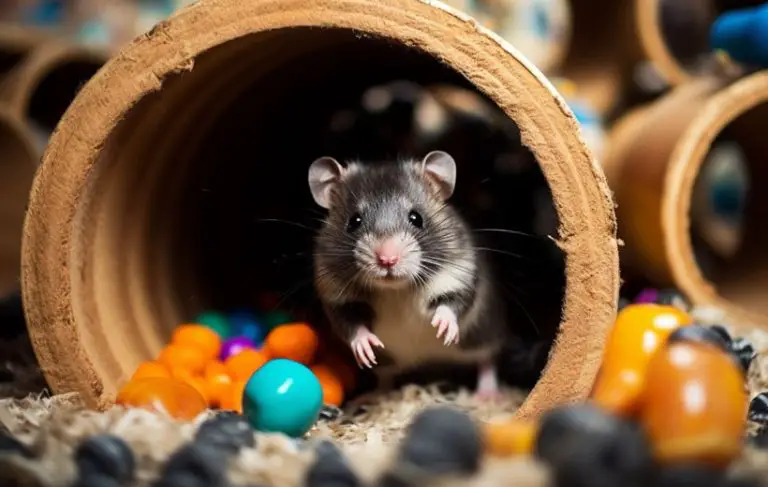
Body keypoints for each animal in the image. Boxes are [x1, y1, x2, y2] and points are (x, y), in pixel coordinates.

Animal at [307, 151, 508, 399]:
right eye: (354, 221)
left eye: (416, 218)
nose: (387, 260)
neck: (396, 289)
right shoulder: (336, 295)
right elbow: (350, 323)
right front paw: (365, 347)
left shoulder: (460, 274)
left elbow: (453, 304)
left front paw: (442, 326)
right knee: (386, 375)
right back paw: (379, 394)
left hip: (482, 335)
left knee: (486, 360)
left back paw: (487, 395)